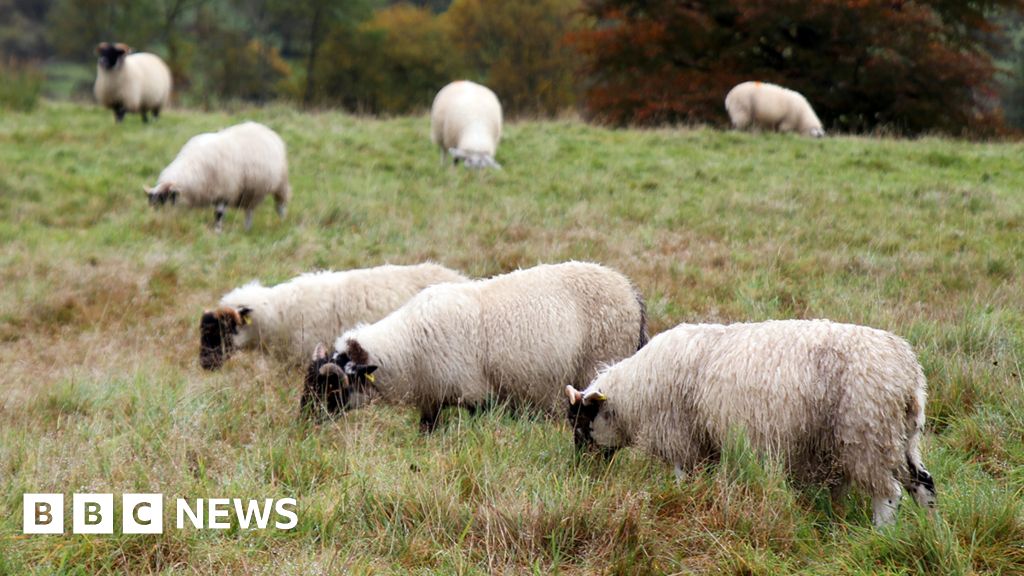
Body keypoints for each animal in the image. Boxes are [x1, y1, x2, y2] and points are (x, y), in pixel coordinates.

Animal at [145, 122, 291, 231]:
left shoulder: (225, 190)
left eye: (163, 201)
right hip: (251, 190)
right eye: (152, 204)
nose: (155, 222)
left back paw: (282, 221)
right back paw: (247, 229)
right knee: (249, 209)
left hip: (280, 182)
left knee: (279, 204)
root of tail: (265, 128)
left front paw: (217, 231)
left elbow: (219, 214)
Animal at [303, 261, 648, 430]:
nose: (302, 420)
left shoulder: (476, 395)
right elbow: (427, 429)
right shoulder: (432, 397)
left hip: (602, 360)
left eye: (331, 385)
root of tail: (631, 292)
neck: (408, 345)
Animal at [565, 319, 936, 527]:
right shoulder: (705, 439)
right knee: (923, 484)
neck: (634, 393)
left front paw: (680, 498)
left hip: (866, 434)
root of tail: (907, 373)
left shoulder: (681, 435)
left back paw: (882, 532)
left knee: (889, 493)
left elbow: (682, 476)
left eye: (582, 425)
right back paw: (931, 531)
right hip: (902, 438)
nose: (581, 471)